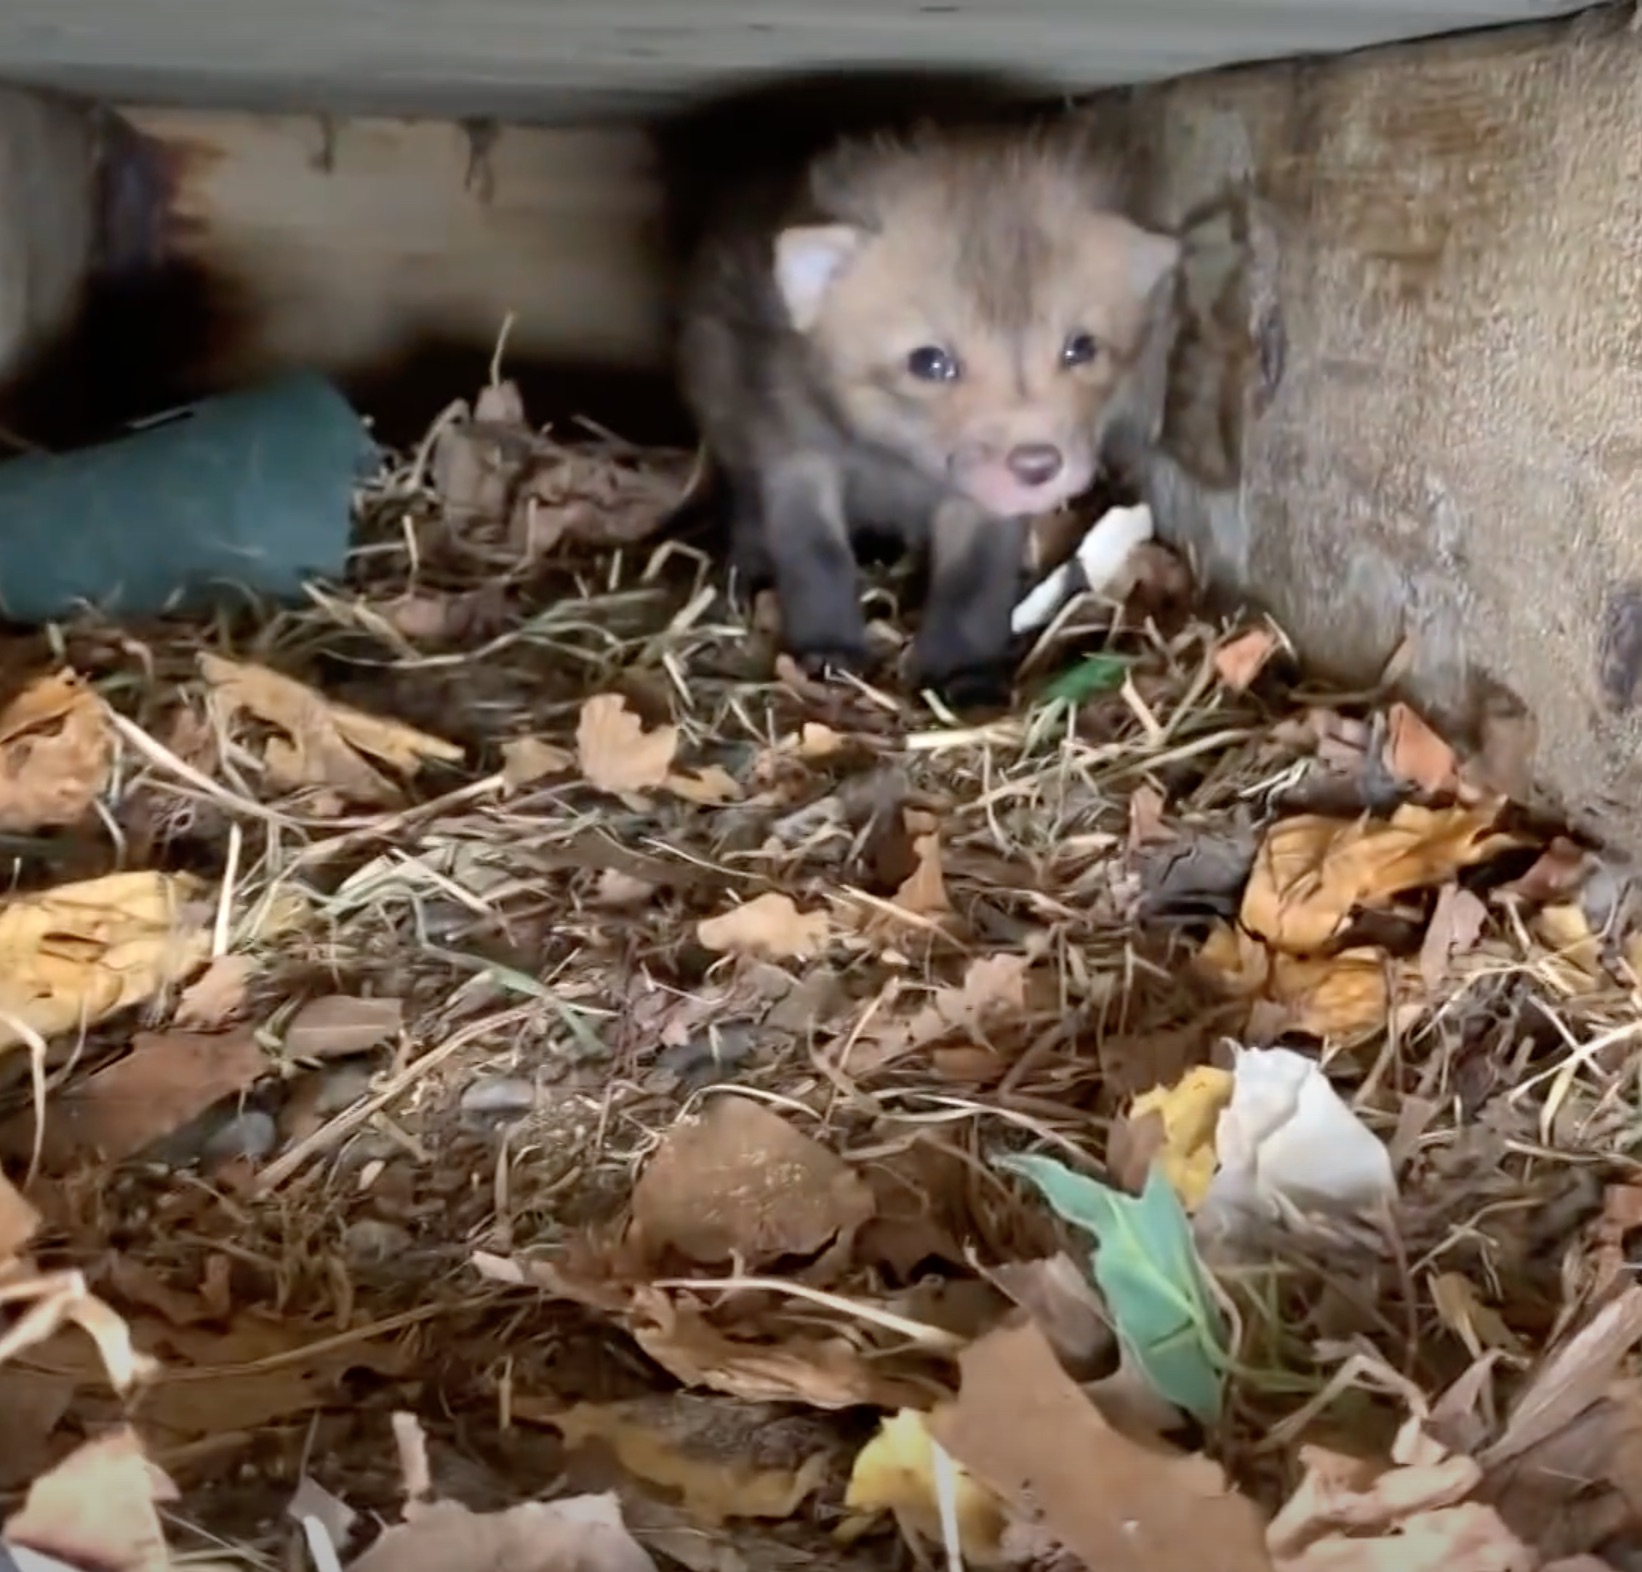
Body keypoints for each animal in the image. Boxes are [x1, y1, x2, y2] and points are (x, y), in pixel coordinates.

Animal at [675, 113, 1180, 708]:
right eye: (929, 362)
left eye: (1081, 348)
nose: (1037, 466)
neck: (895, 469)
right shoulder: (796, 456)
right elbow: (814, 554)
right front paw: (828, 649)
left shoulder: (981, 501)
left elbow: (972, 582)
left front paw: (964, 671)